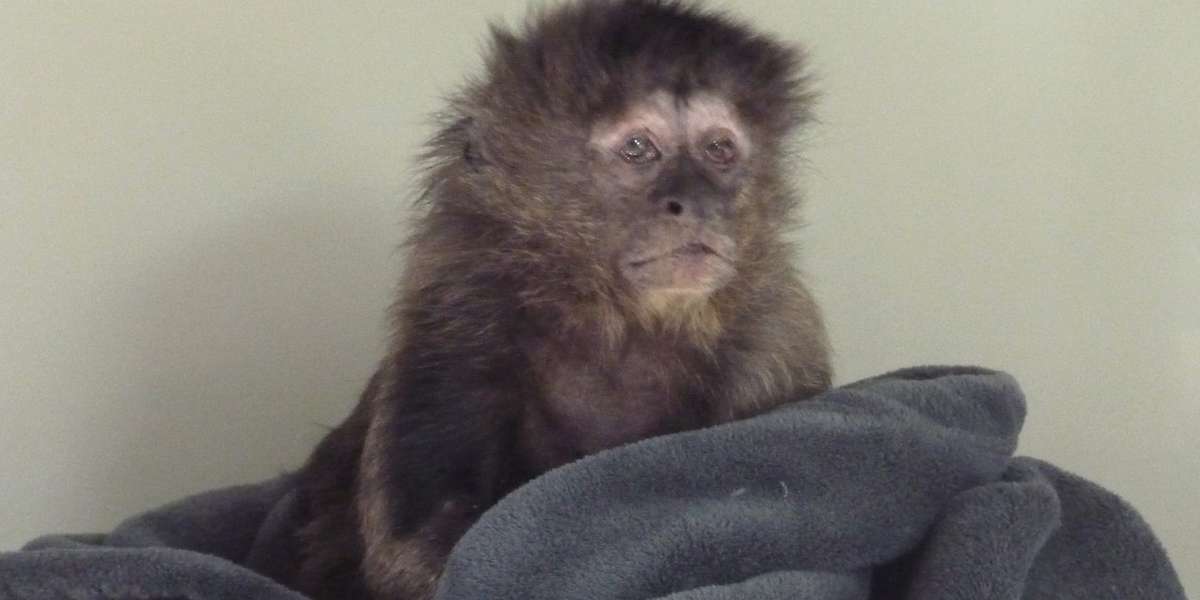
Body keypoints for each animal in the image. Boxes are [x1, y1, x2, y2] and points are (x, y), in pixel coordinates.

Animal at [288, 1, 831, 598]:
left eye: (719, 150)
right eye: (638, 148)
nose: (696, 201)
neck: (614, 321)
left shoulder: (776, 338)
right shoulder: (455, 323)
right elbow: (426, 553)